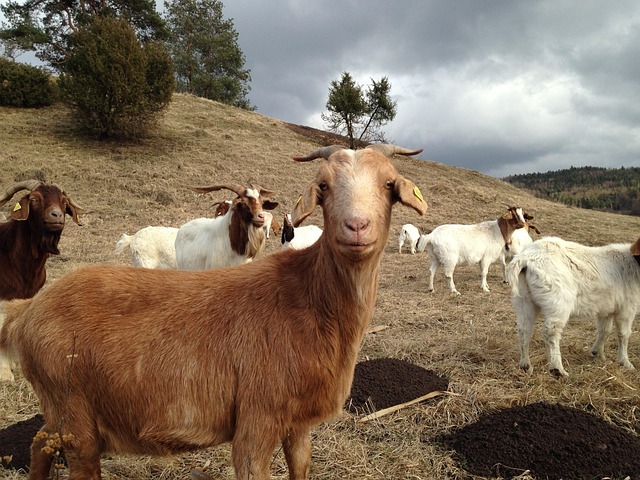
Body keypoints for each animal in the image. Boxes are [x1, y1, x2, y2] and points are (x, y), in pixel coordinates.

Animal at [507, 235, 640, 377]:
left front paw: (597, 353)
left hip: (524, 300)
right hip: (558, 301)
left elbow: (604, 330)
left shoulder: (607, 309)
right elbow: (624, 334)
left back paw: (525, 365)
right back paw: (557, 369)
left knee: (524, 329)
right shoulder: (627, 308)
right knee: (551, 332)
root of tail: (525, 258)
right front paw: (625, 362)